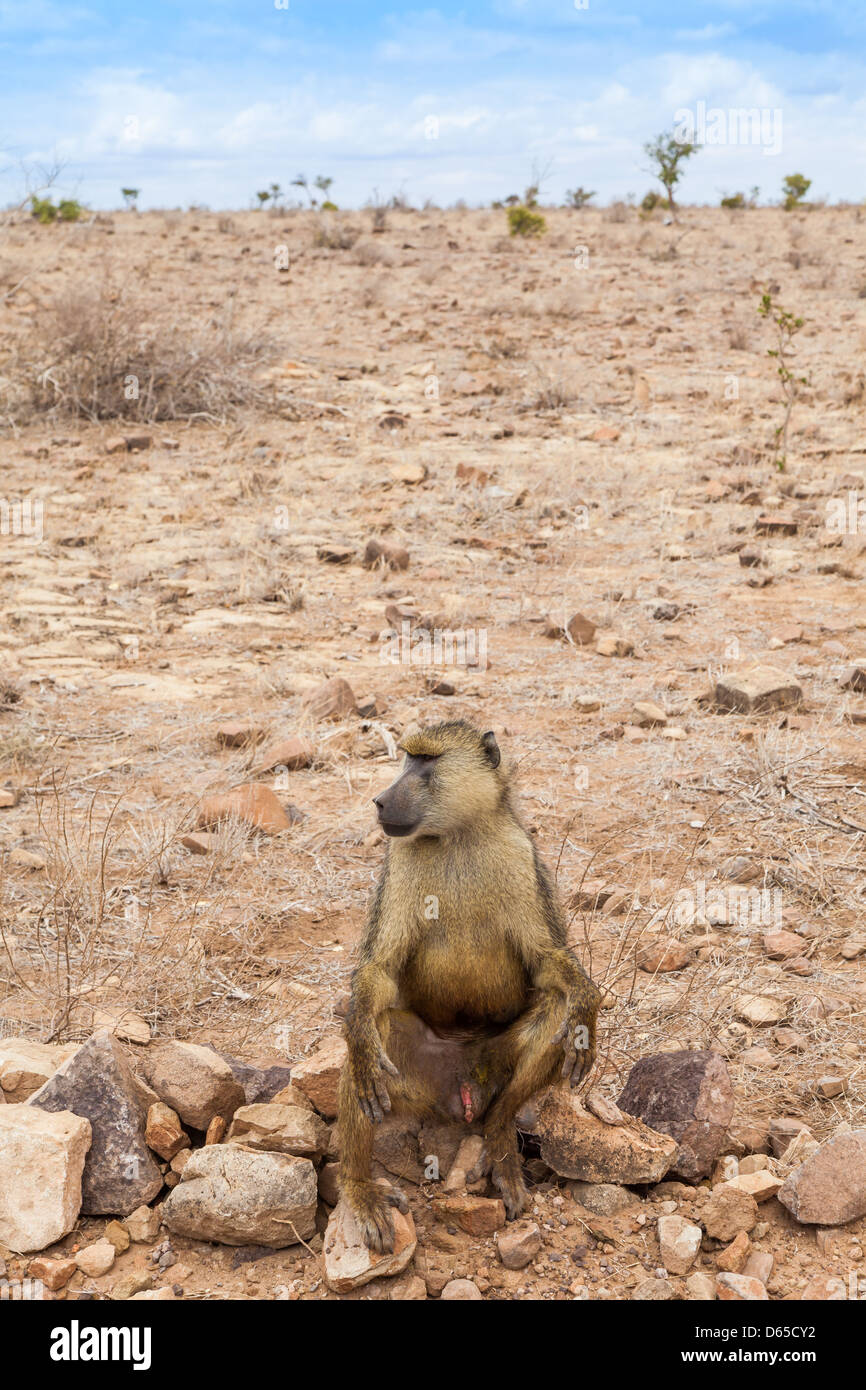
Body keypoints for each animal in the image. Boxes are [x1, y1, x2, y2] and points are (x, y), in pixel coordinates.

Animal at [338, 719, 601, 1253]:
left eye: (428, 762)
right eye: (409, 758)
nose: (381, 801)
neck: (457, 834)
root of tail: (460, 1092)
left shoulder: (522, 857)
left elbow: (548, 966)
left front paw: (587, 1002)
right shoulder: (399, 859)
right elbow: (381, 971)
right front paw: (358, 1035)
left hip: (491, 1065)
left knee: (554, 1012)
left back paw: (500, 1138)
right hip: (413, 1077)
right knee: (377, 1035)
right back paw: (360, 1187)